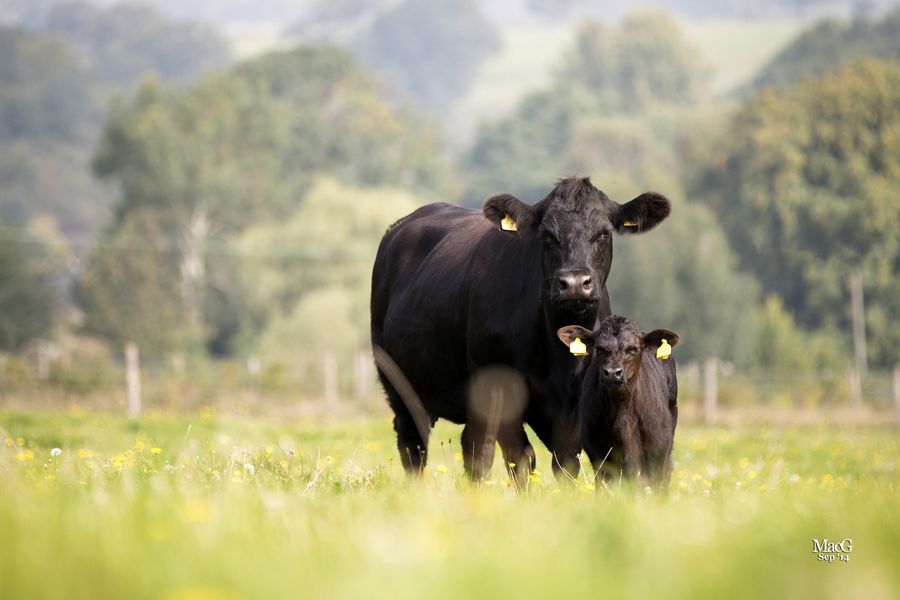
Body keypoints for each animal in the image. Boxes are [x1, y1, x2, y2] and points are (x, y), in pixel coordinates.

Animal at [370, 177, 671, 482]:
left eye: (603, 234)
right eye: (547, 236)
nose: (575, 283)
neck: (557, 353)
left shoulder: (576, 403)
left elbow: (566, 462)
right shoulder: (498, 387)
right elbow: (520, 458)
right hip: (399, 386)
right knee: (417, 448)